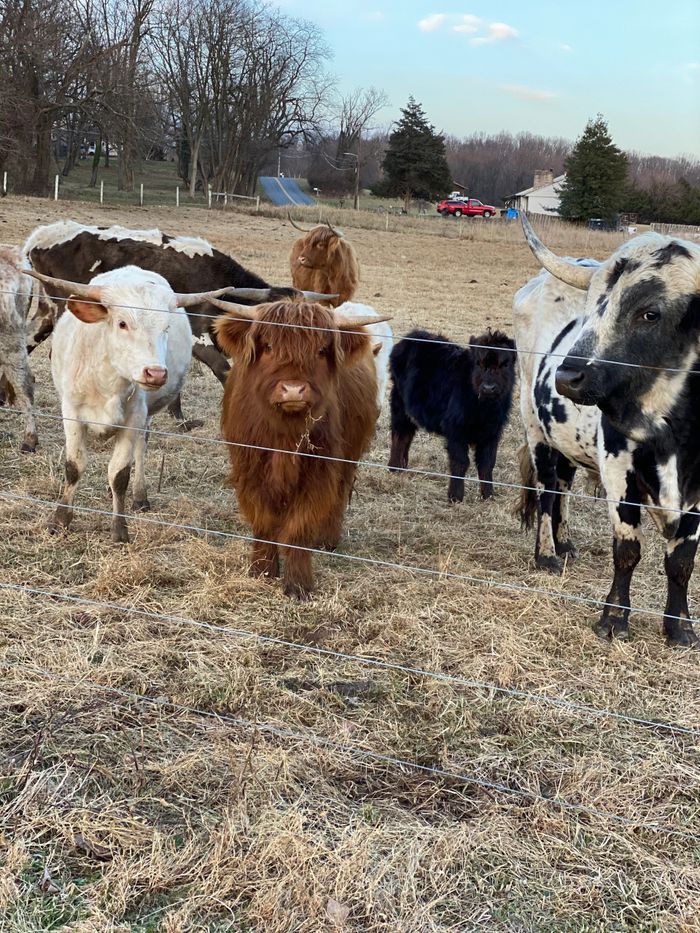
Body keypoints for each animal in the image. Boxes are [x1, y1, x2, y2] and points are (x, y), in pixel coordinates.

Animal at [28, 266, 278, 544]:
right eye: (122, 323)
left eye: (166, 327)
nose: (156, 373)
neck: (108, 380)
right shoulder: (72, 413)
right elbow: (74, 466)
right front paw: (60, 520)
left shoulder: (134, 418)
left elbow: (120, 474)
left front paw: (120, 529)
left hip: (145, 418)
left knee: (140, 448)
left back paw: (140, 495)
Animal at [213, 302, 388, 600]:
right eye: (269, 346)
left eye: (321, 351)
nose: (293, 390)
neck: (285, 436)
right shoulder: (249, 469)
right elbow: (263, 521)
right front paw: (262, 570)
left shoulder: (318, 472)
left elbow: (299, 528)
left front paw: (298, 584)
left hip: (349, 455)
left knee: (340, 494)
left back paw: (327, 540)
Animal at [388, 330, 516, 498]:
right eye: (478, 363)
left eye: (504, 364)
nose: (488, 388)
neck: (484, 411)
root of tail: (412, 336)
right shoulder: (455, 429)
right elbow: (461, 462)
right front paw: (455, 496)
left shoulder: (492, 432)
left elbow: (487, 463)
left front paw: (488, 495)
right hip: (399, 404)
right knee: (399, 435)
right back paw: (394, 468)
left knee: (407, 435)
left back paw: (402, 467)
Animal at [516, 213, 700, 648]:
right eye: (591, 306)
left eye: (650, 313)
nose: (567, 376)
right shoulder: (618, 468)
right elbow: (628, 548)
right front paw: (614, 618)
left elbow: (682, 559)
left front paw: (680, 625)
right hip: (535, 428)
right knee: (547, 492)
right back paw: (547, 553)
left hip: (566, 437)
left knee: (563, 487)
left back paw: (565, 542)